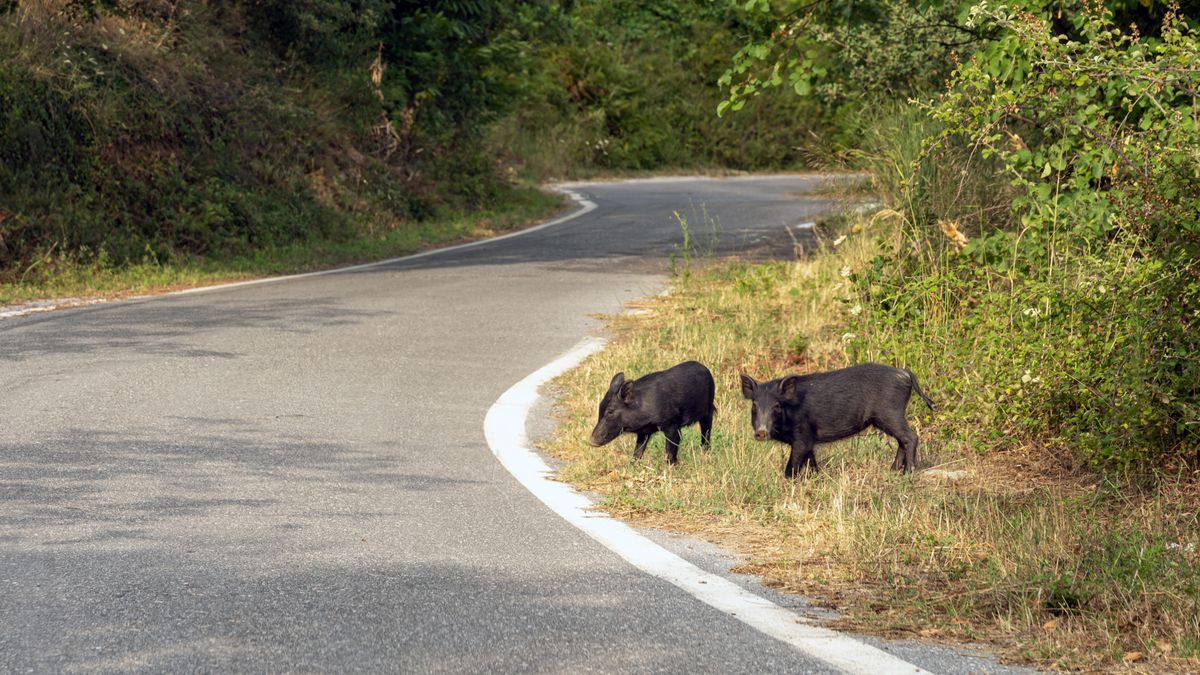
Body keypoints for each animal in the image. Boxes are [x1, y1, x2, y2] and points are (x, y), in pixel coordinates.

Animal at [739, 363, 935, 477]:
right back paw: (892, 470)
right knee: (902, 440)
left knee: (911, 437)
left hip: (889, 413)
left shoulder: (803, 436)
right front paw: (816, 478)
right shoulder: (809, 441)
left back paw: (907, 474)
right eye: (754, 405)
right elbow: (811, 461)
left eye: (777, 406)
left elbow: (792, 466)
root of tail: (905, 373)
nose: (761, 432)